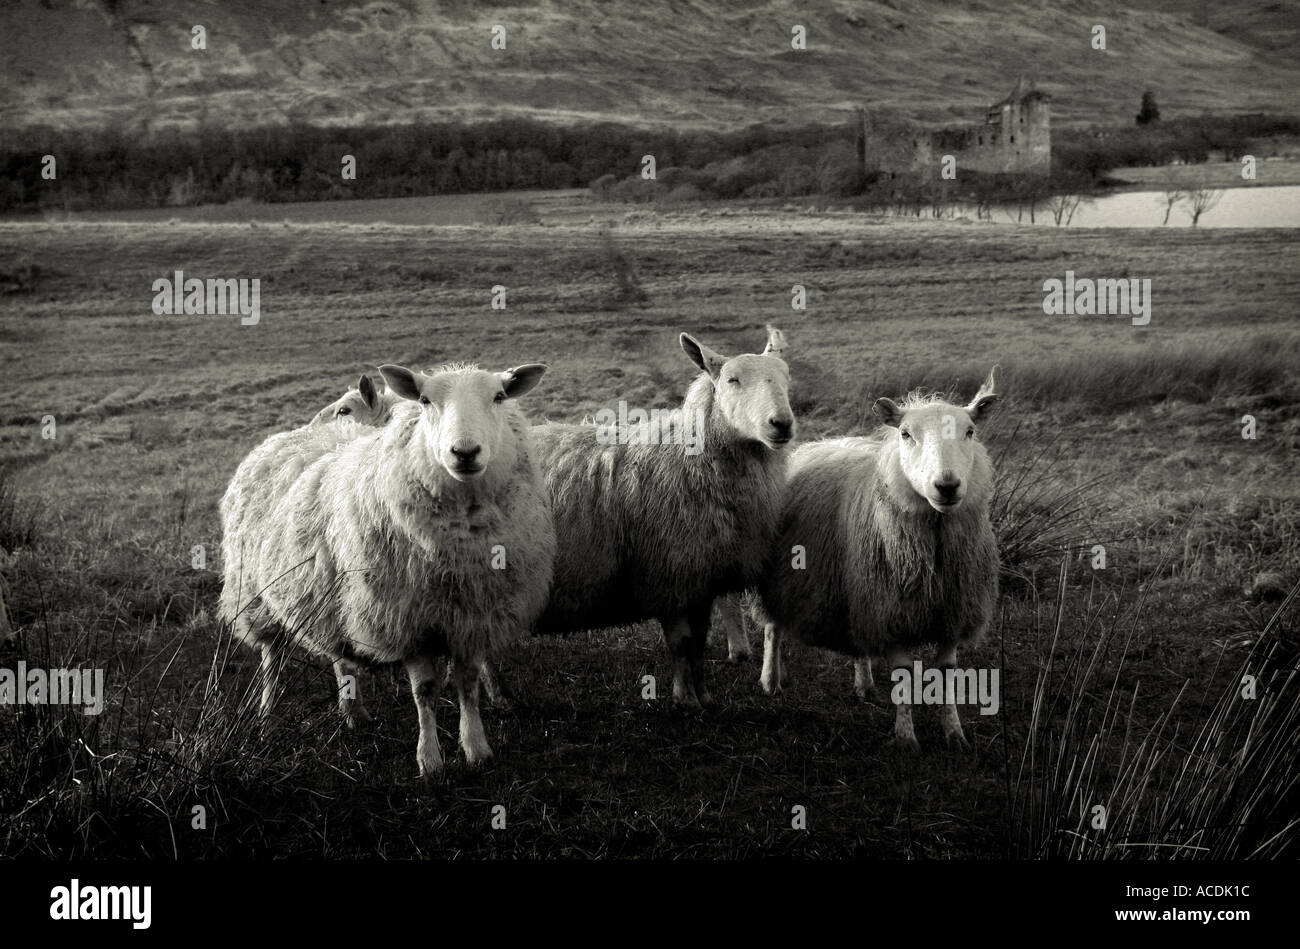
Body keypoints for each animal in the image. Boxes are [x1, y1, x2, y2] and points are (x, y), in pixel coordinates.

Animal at [220, 362, 555, 775]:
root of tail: (281, 439)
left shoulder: (475, 614)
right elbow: (424, 690)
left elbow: (468, 682)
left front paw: (477, 747)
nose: (464, 452)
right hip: (255, 593)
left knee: (339, 657)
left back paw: (353, 711)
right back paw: (268, 712)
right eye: (424, 400)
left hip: (332, 595)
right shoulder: (404, 617)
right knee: (272, 656)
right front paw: (430, 760)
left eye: (500, 396)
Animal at [492, 327, 794, 708]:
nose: (782, 424)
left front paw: (704, 696)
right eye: (732, 379)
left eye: (786, 377)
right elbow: (681, 644)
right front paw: (684, 699)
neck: (692, 460)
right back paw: (499, 697)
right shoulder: (671, 575)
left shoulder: (701, 579)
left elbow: (698, 644)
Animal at [757, 370, 1000, 750]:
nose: (946, 486)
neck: (933, 550)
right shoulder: (890, 611)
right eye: (906, 434)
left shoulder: (952, 612)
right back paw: (770, 679)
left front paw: (954, 733)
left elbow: (947, 676)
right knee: (772, 627)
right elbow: (904, 677)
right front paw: (906, 738)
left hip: (856, 589)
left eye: (970, 431)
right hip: (780, 576)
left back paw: (864, 683)